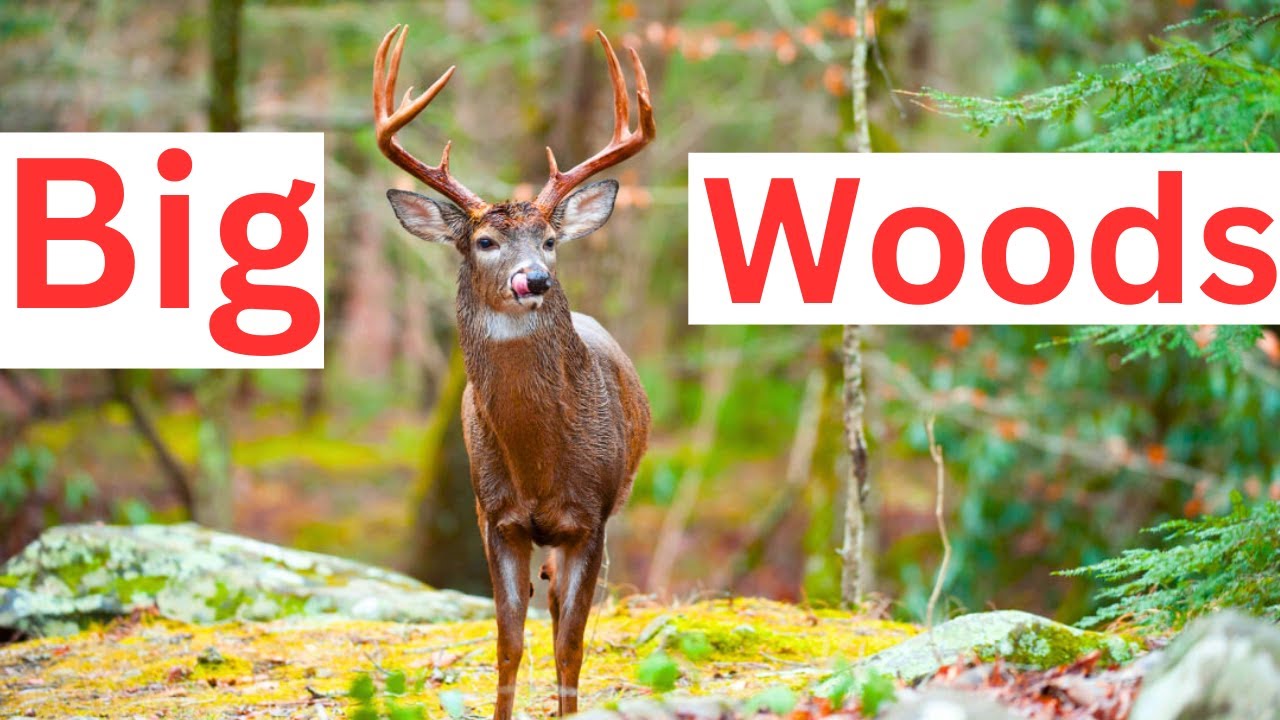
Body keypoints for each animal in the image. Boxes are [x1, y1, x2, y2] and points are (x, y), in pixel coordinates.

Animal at [373, 24, 654, 720]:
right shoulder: (494, 515)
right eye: (484, 242)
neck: (540, 466)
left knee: (559, 614)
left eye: (550, 240)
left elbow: (570, 647)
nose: (535, 279)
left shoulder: (592, 517)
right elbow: (508, 643)